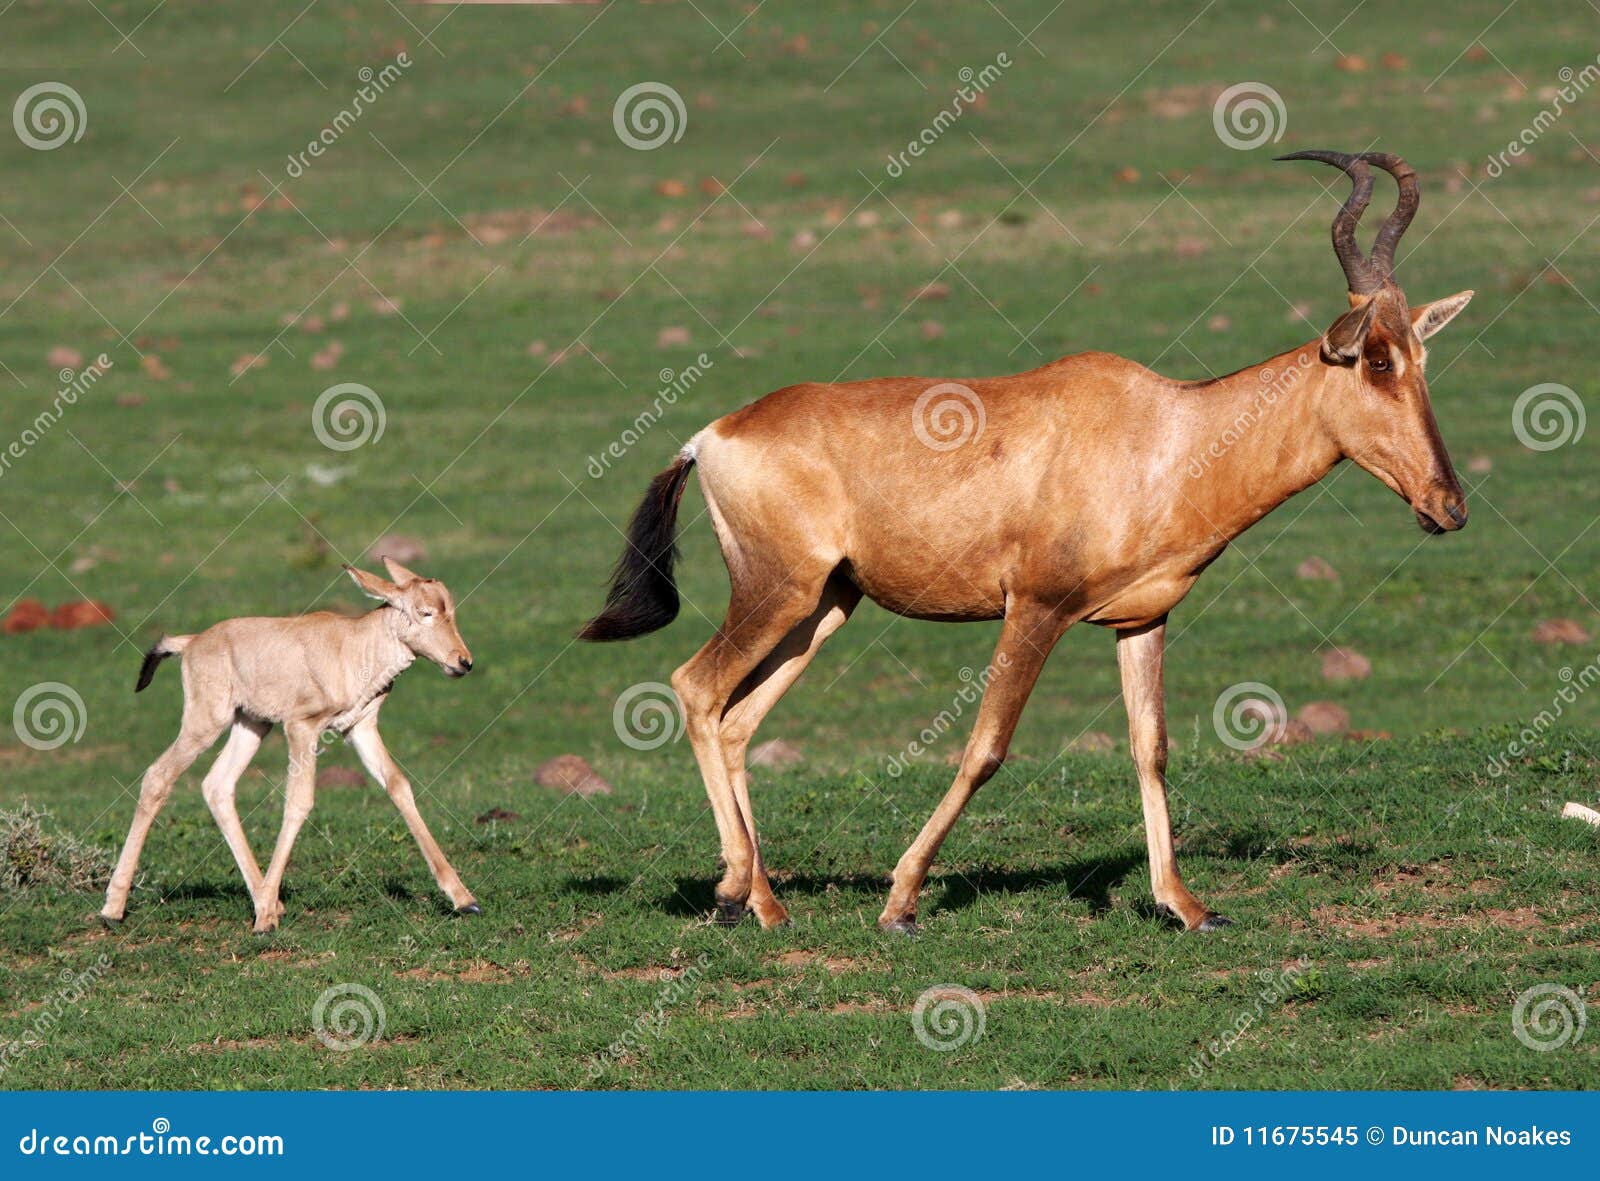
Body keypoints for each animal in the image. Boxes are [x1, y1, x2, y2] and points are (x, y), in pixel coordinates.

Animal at [101, 558, 479, 933]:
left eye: (451, 609)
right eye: (425, 611)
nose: (463, 662)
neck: (353, 643)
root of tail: (192, 642)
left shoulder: (360, 728)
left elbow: (398, 785)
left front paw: (464, 900)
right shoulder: (302, 728)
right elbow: (299, 801)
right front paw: (264, 921)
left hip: (252, 724)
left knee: (217, 785)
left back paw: (268, 900)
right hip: (205, 722)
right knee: (158, 775)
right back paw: (113, 908)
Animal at [580, 149, 1473, 935]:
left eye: (1423, 353)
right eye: (1376, 359)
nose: (1449, 506)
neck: (1169, 428)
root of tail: (711, 436)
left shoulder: (1141, 618)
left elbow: (1151, 747)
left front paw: (1186, 905)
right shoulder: (1035, 609)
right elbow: (986, 749)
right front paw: (902, 902)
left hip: (825, 605)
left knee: (737, 719)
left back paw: (760, 900)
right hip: (777, 592)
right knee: (696, 688)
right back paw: (741, 891)